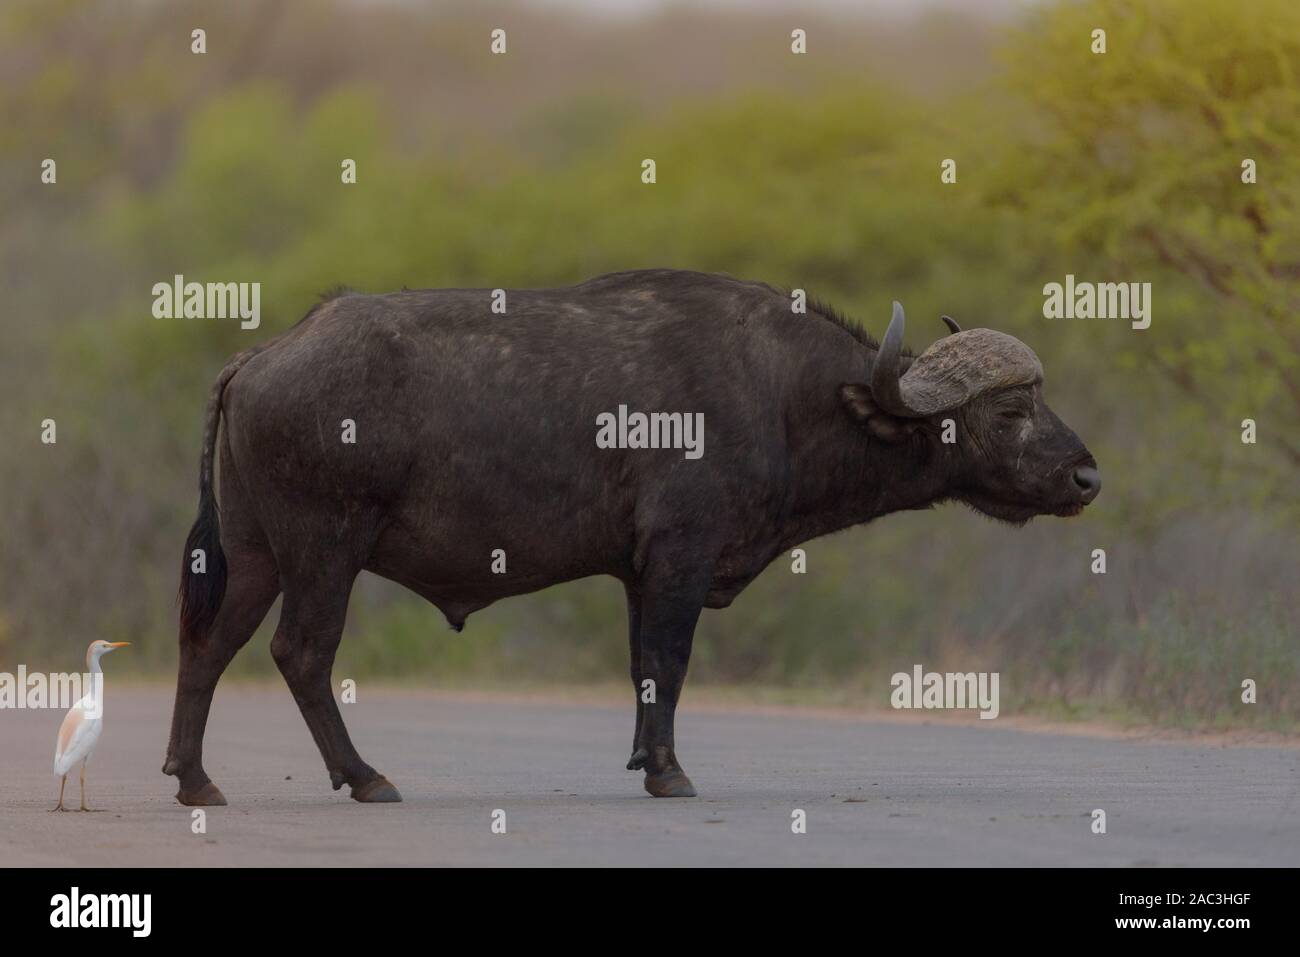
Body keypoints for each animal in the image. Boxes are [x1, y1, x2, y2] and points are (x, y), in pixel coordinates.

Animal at [162, 269, 1100, 804]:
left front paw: (646, 759)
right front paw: (670, 772)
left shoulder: (638, 574)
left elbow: (643, 671)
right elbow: (670, 665)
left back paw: (195, 779)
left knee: (208, 645)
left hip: (256, 554)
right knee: (301, 654)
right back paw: (364, 777)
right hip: (325, 551)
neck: (783, 395)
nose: (1088, 476)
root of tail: (263, 354)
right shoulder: (681, 558)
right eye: (1010, 411)